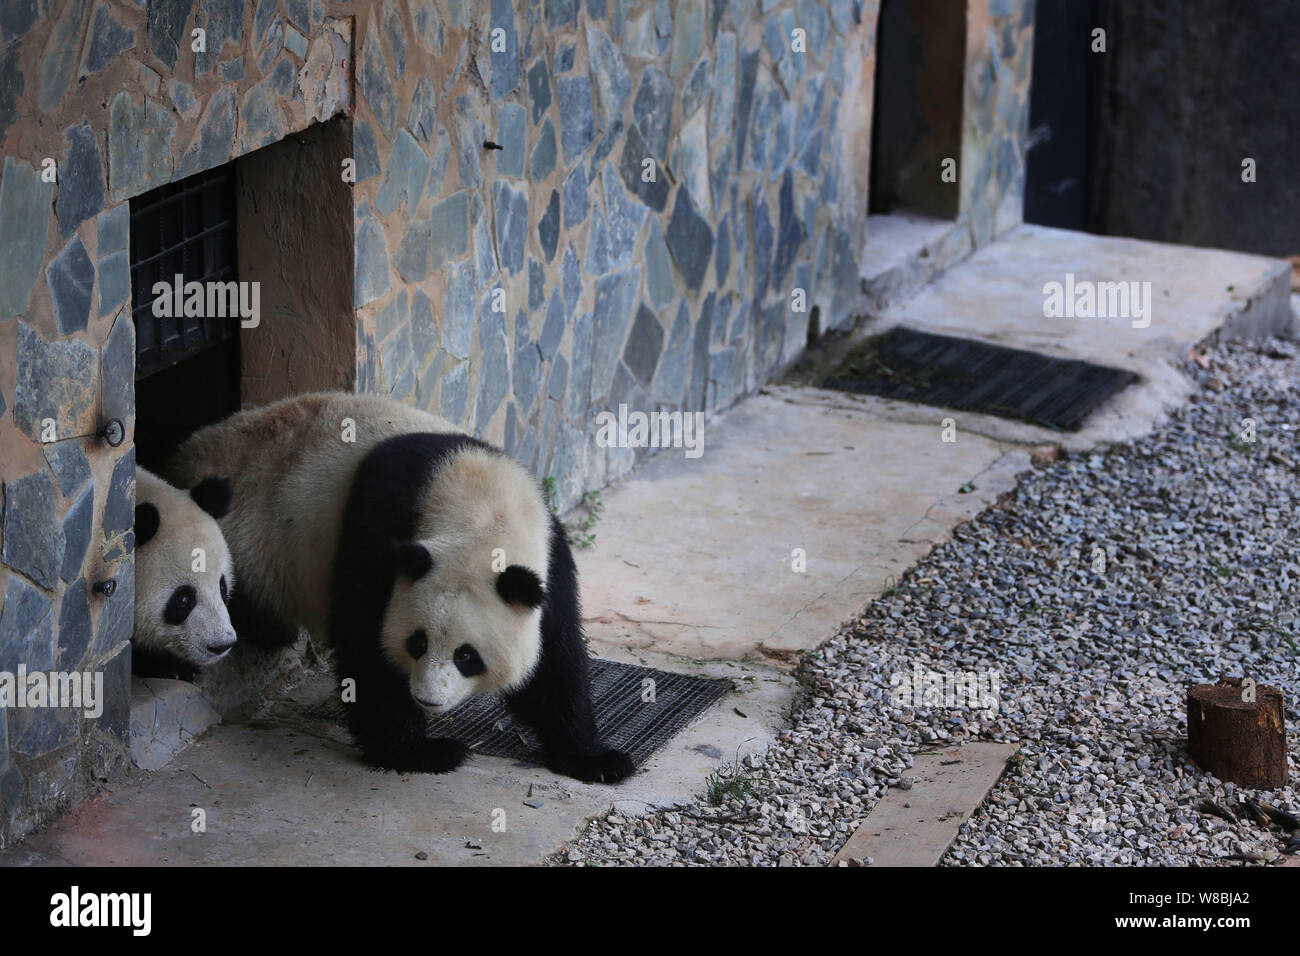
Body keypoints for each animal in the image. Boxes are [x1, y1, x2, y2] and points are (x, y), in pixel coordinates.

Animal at [168, 392, 634, 783]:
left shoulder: (550, 558)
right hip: (242, 533)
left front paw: (596, 759)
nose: (428, 699)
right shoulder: (380, 526)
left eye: (467, 656)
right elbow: (365, 640)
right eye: (417, 643)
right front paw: (420, 751)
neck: (481, 507)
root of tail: (188, 454)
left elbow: (554, 658)